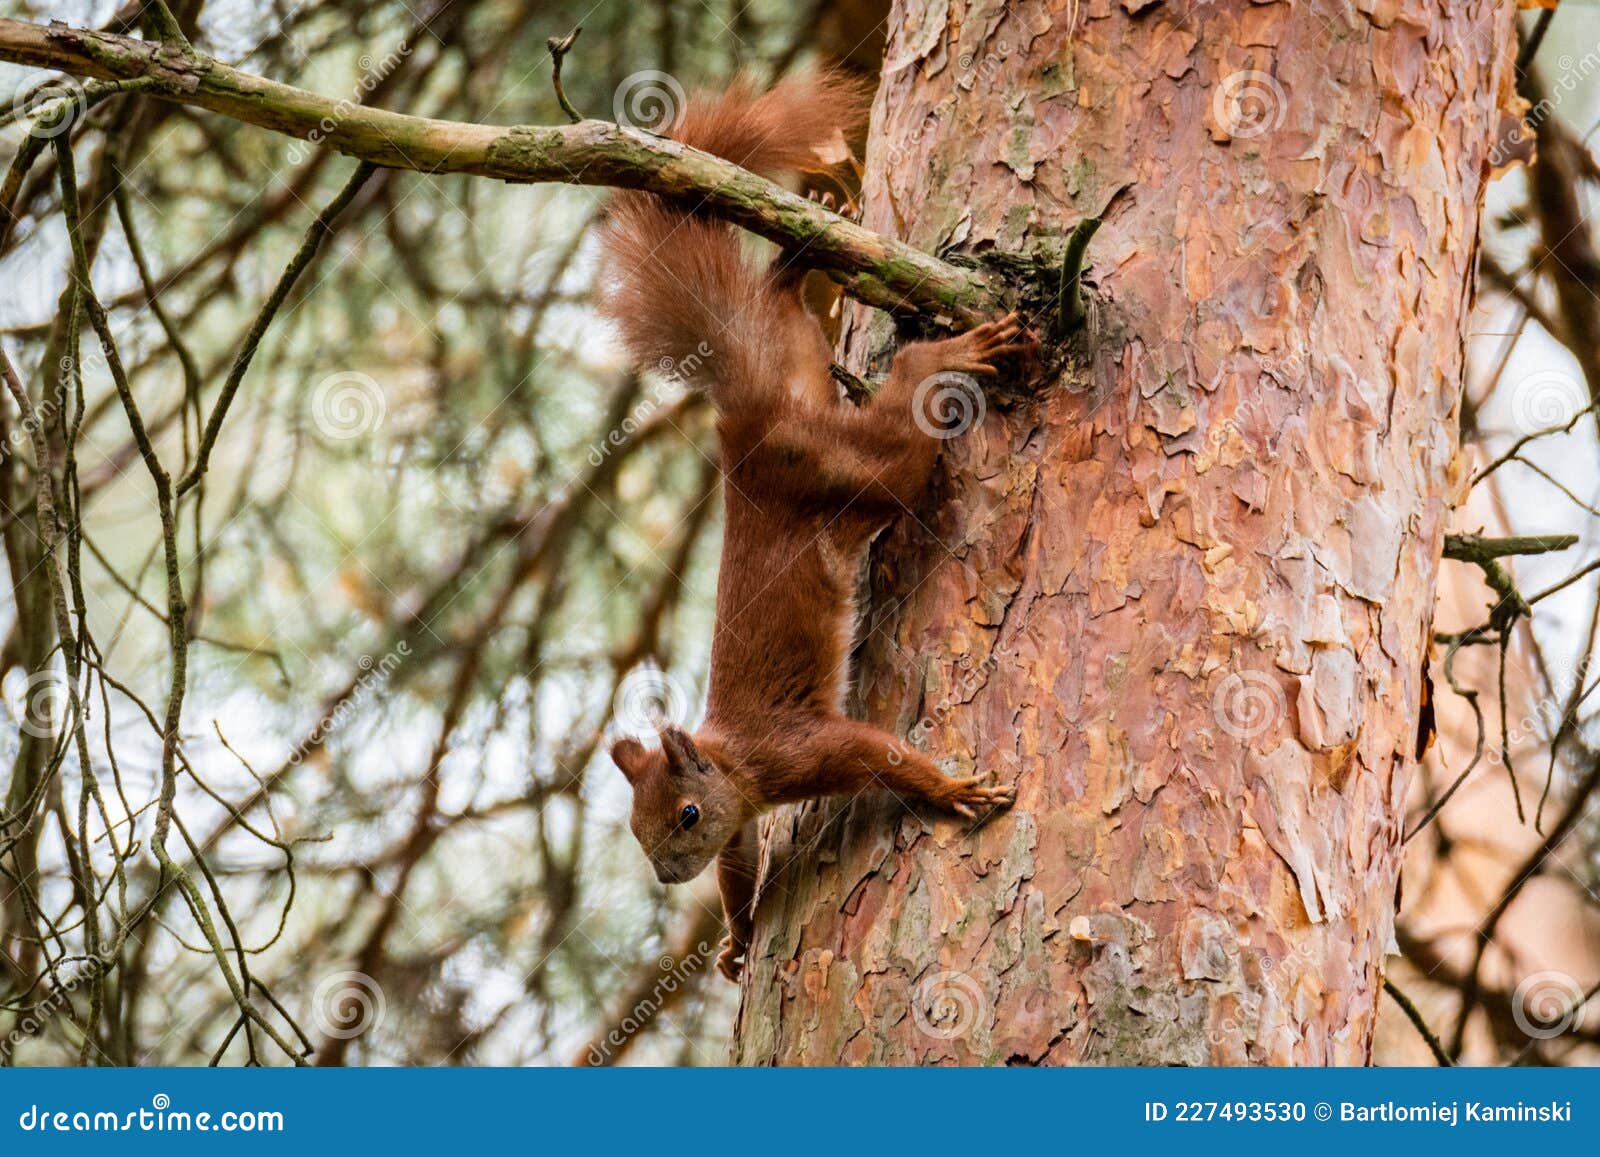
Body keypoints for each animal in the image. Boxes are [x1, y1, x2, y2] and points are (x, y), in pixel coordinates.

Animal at [600, 72, 1030, 983]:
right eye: (635, 828)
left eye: (685, 815)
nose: (667, 874)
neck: (733, 763)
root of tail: (750, 426)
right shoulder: (745, 819)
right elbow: (738, 873)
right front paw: (735, 939)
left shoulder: (798, 752)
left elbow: (878, 754)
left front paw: (950, 791)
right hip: (806, 374)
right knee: (778, 304)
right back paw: (799, 255)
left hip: (853, 468)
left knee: (905, 412)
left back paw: (945, 350)